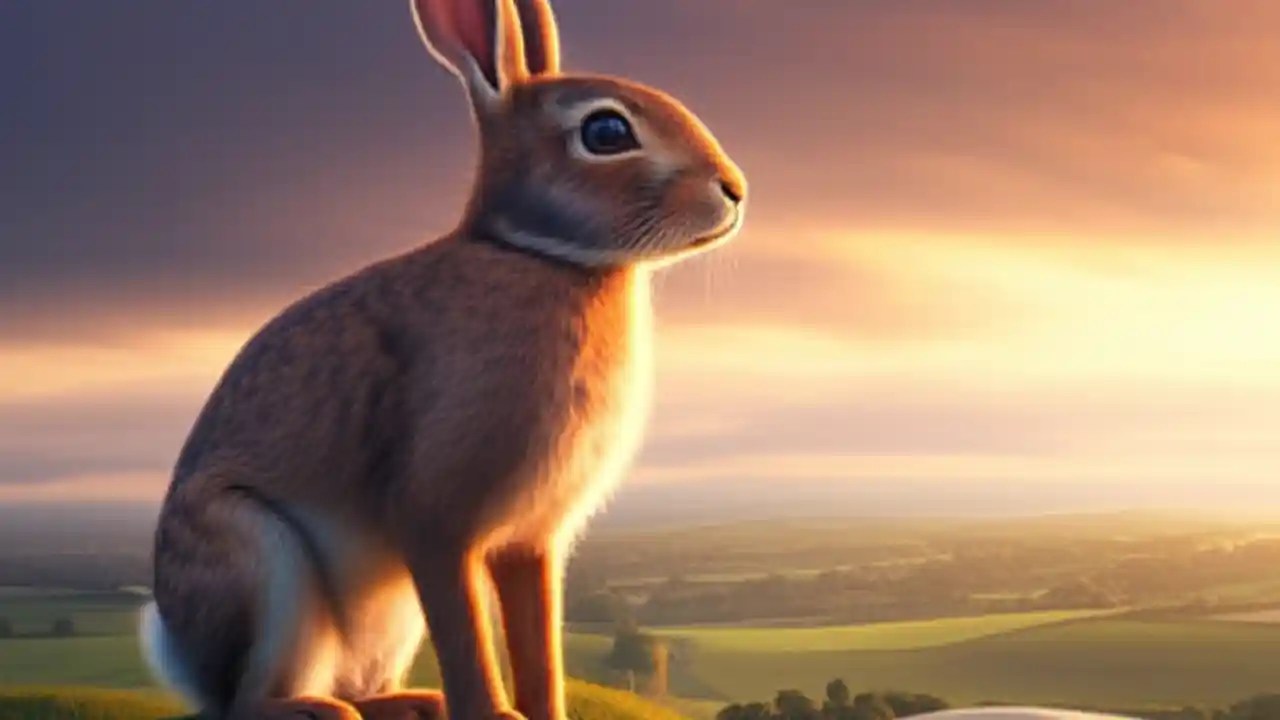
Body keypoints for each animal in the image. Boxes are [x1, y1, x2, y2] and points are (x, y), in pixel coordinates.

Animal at [139, 0, 747, 718]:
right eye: (605, 131)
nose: (733, 189)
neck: (541, 255)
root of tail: (187, 658)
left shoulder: (531, 542)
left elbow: (537, 639)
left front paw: (543, 711)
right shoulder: (436, 519)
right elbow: (466, 633)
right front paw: (494, 714)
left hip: (388, 614)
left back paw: (408, 703)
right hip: (262, 562)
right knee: (246, 699)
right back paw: (316, 708)